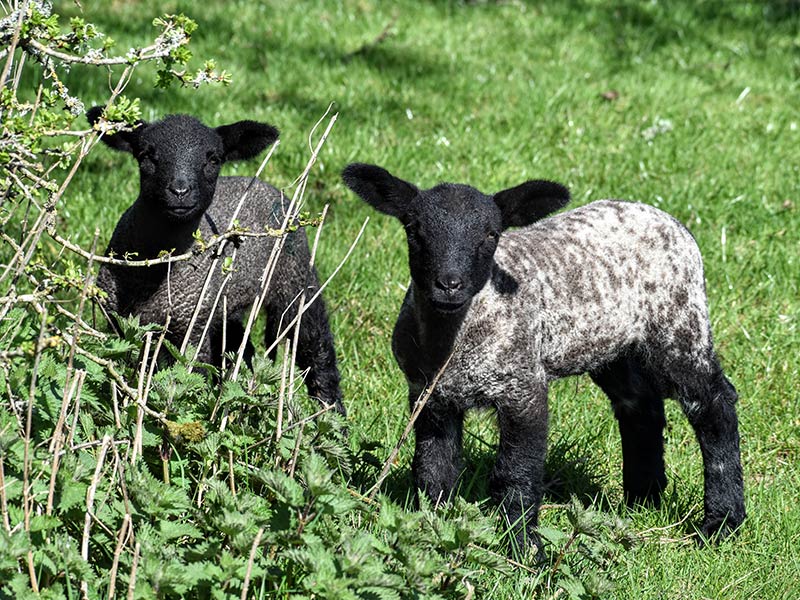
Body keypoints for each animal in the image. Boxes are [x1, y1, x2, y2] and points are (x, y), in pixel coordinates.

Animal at [88, 107, 344, 415]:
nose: (180, 191)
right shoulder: (119, 325)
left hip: (295, 279)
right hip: (225, 306)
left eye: (213, 159)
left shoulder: (192, 330)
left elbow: (190, 380)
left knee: (316, 348)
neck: (153, 273)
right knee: (240, 350)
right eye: (147, 155)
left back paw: (332, 417)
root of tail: (262, 184)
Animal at [342, 162, 744, 551]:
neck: (454, 341)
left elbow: (515, 473)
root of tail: (667, 218)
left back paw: (722, 522)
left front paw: (523, 548)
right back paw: (642, 499)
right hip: (609, 346)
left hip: (679, 323)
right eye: (414, 230)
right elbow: (432, 469)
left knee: (713, 403)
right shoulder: (429, 397)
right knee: (639, 406)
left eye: (491, 235)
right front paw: (431, 533)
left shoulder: (523, 388)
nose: (449, 284)